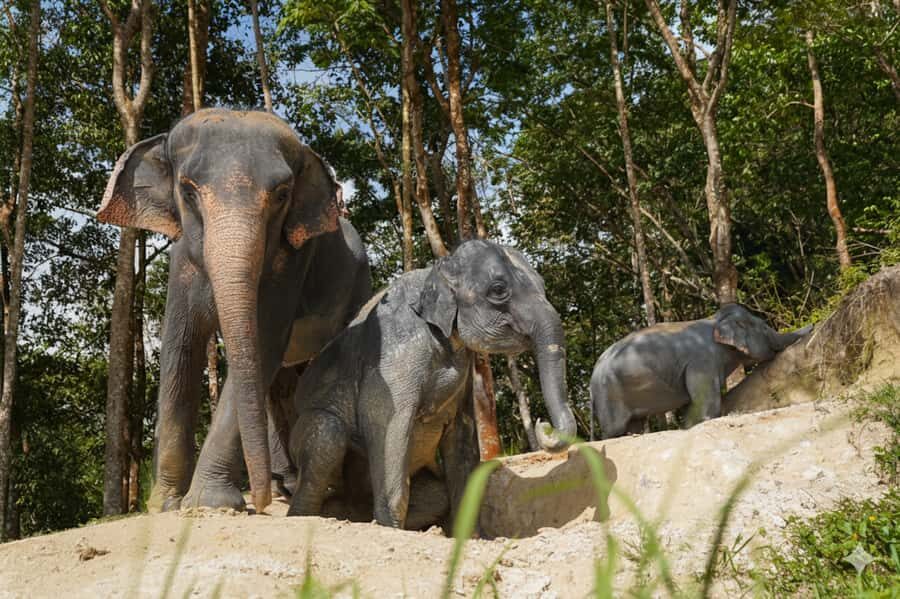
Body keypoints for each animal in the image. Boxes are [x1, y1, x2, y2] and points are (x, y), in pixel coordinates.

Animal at [96, 108, 372, 513]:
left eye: (283, 194)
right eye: (188, 190)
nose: (258, 502)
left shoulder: (290, 265)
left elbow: (263, 347)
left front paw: (209, 503)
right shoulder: (182, 263)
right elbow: (180, 351)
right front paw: (164, 505)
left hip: (358, 287)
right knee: (279, 385)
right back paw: (285, 487)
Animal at [286, 239, 578, 529]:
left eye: (542, 284)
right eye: (498, 290)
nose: (544, 425)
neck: (435, 271)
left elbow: (462, 436)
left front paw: (470, 535)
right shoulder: (393, 355)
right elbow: (387, 425)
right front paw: (392, 529)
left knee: (437, 496)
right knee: (327, 432)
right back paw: (306, 516)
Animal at [590, 303, 812, 439]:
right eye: (765, 329)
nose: (812, 325)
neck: (715, 320)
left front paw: (687, 425)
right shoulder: (702, 361)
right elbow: (706, 402)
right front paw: (703, 421)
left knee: (634, 424)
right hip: (609, 392)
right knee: (613, 429)